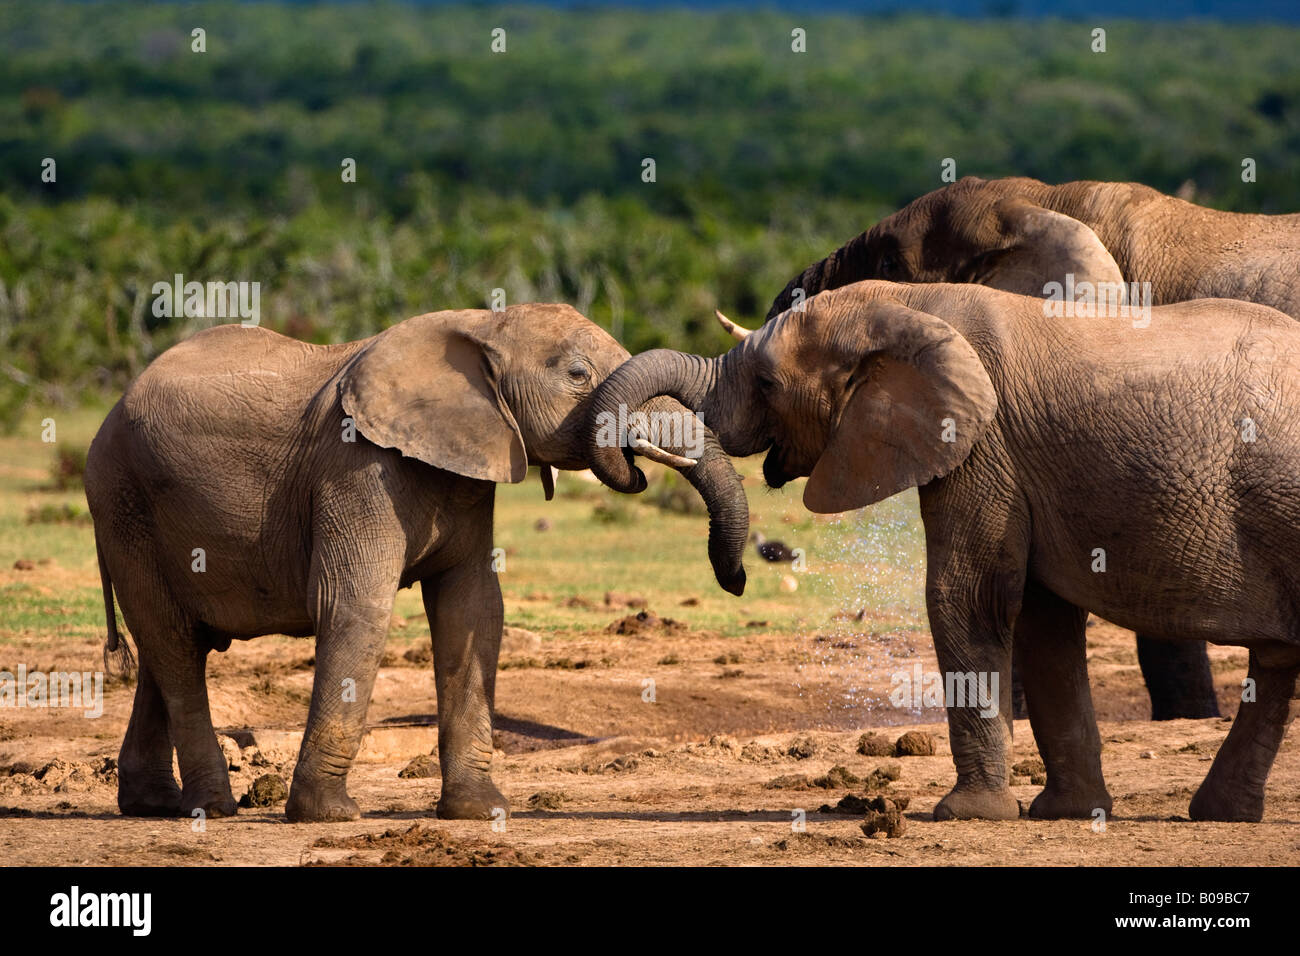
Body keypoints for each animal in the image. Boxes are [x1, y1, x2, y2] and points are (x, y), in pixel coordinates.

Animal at [86, 304, 750, 823]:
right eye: (577, 374)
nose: (737, 578)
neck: (483, 325)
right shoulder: (356, 466)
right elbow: (356, 606)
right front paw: (330, 816)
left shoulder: (470, 468)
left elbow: (473, 608)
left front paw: (481, 812)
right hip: (122, 501)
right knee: (173, 644)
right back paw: (212, 809)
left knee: (169, 647)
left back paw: (150, 805)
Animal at [587, 280, 1300, 822]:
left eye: (765, 381)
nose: (736, 576)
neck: (911, 303)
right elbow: (1041, 618)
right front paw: (1063, 815)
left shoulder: (984, 444)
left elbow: (968, 597)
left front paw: (967, 815)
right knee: (1276, 660)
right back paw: (1222, 815)